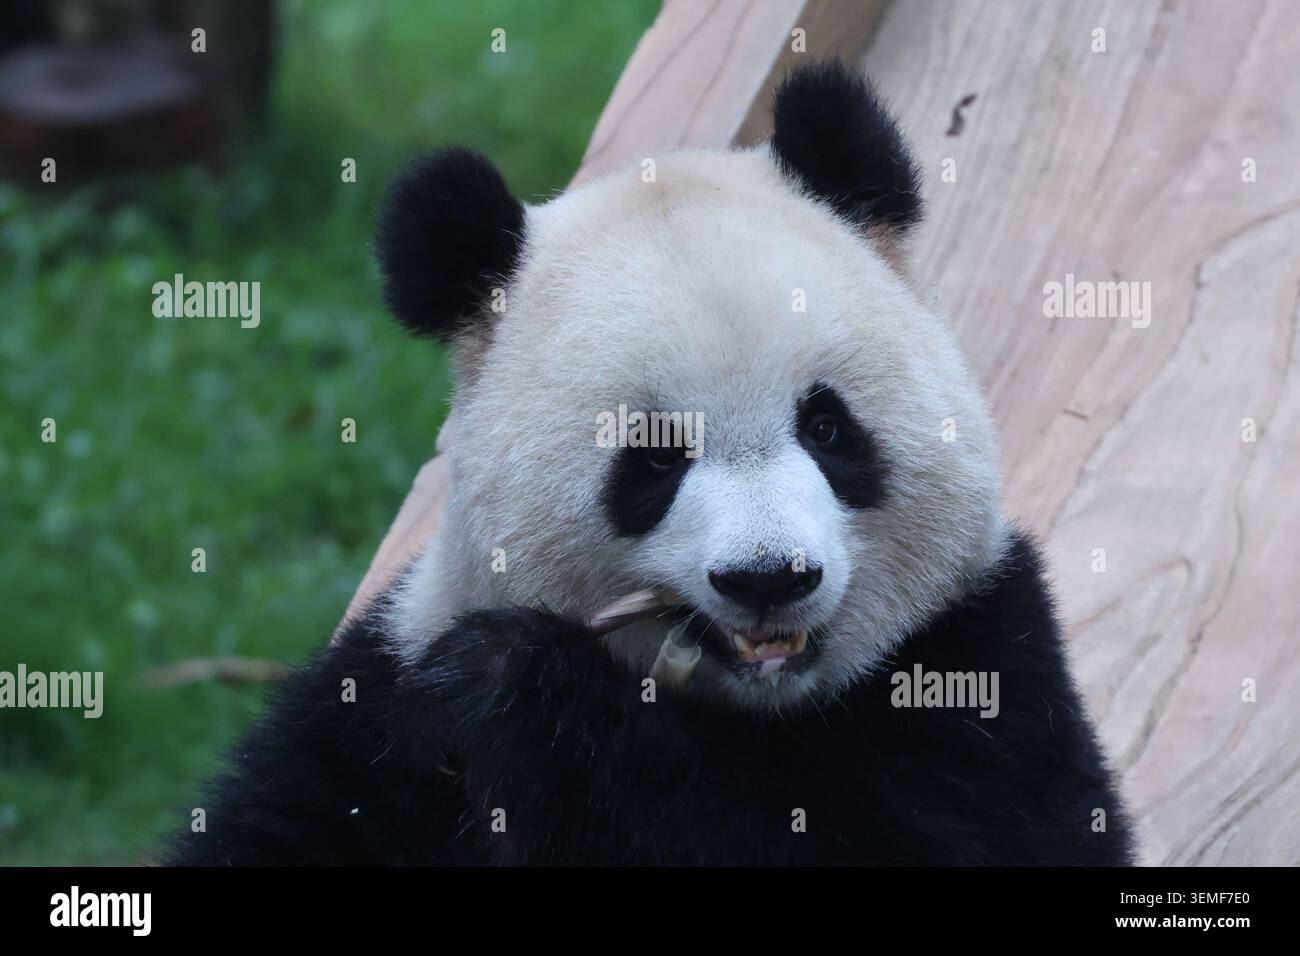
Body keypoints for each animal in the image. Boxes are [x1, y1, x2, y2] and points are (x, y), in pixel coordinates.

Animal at [168, 62, 1134, 866]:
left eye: (828, 428)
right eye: (655, 461)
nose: (768, 578)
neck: (761, 709)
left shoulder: (980, 667)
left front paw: (517, 682)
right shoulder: (371, 718)